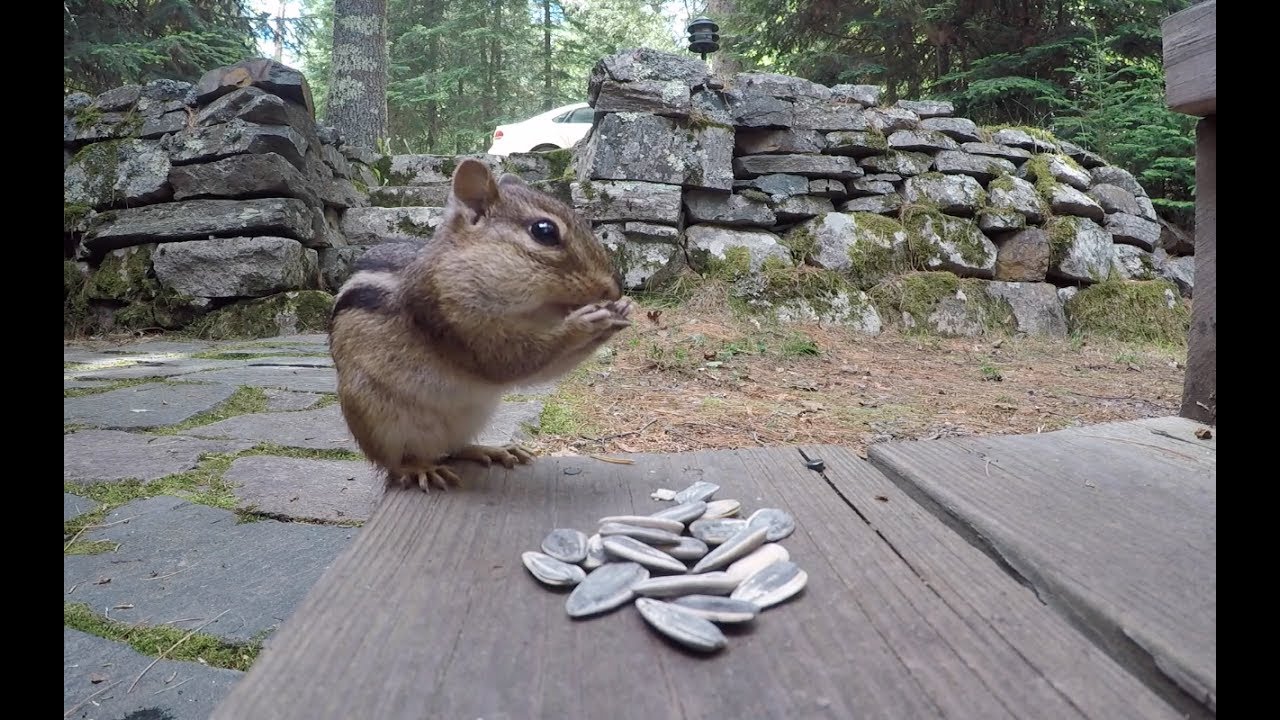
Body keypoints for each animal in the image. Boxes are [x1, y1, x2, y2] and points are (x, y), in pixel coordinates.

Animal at [328, 158, 632, 491]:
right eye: (544, 231)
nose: (613, 289)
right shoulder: (454, 322)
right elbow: (510, 362)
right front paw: (583, 324)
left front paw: (620, 311)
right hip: (378, 421)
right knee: (394, 463)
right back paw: (418, 467)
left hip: (472, 417)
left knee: (455, 448)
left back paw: (490, 450)